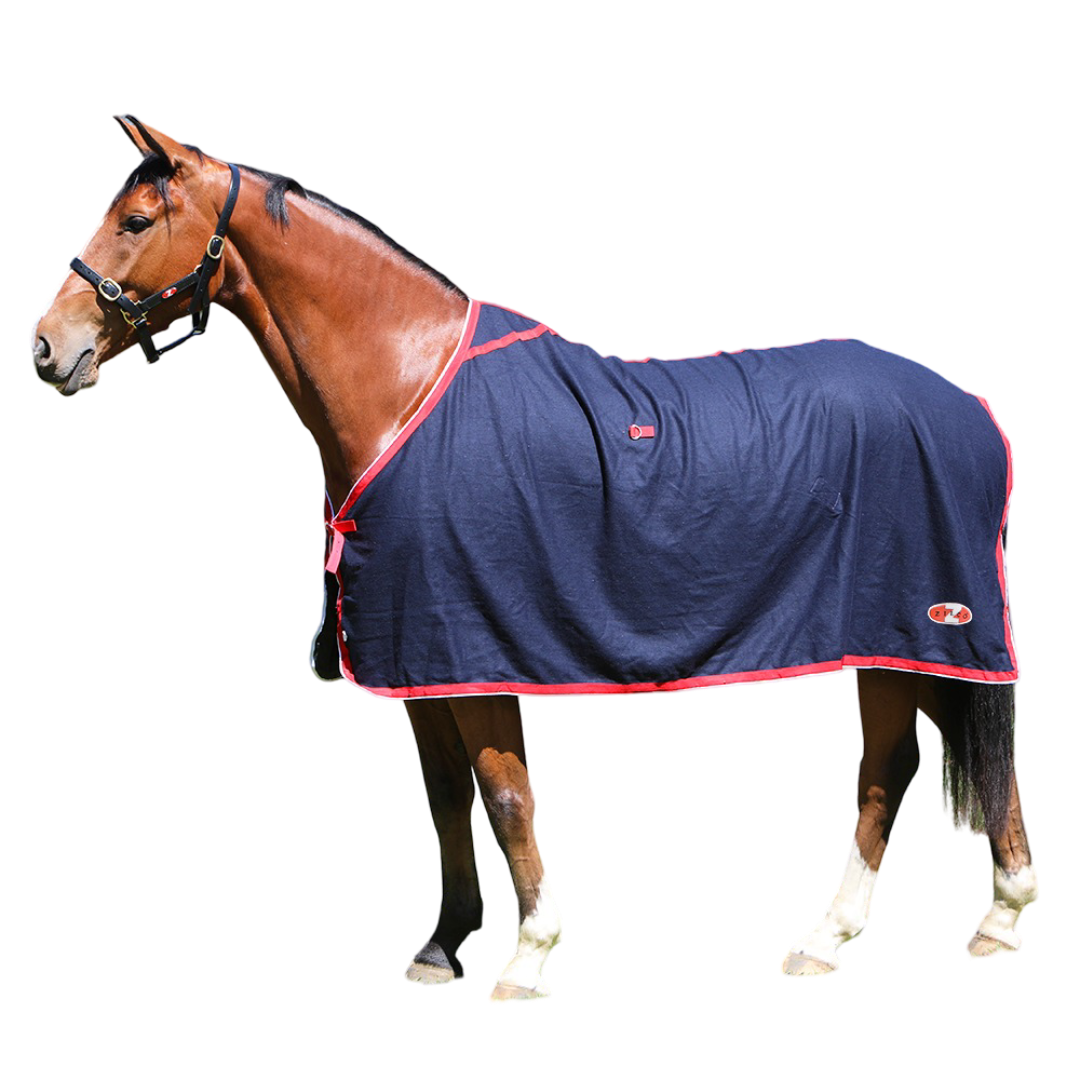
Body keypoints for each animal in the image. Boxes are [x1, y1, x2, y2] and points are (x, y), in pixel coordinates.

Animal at [30, 115, 1038, 1002]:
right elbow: (445, 795)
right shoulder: (419, 661)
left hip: (925, 626)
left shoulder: (478, 650)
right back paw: (845, 935)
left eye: (136, 222)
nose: (45, 345)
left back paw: (980, 918)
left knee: (924, 760)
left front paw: (527, 959)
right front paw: (443, 945)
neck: (407, 390)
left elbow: (507, 795)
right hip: (893, 639)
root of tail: (971, 406)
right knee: (897, 762)